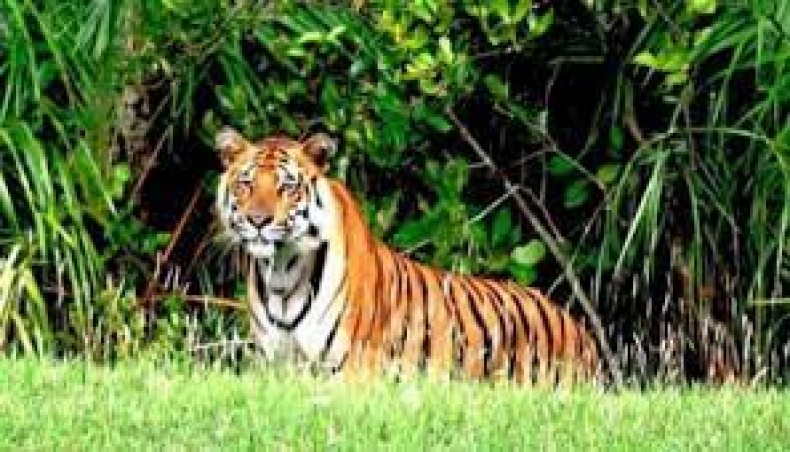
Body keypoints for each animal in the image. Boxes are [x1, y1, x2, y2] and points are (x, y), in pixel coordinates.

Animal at [215, 127, 599, 384]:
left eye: (287, 187)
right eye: (246, 184)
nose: (258, 220)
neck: (282, 272)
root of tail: (582, 332)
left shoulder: (354, 371)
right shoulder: (273, 368)